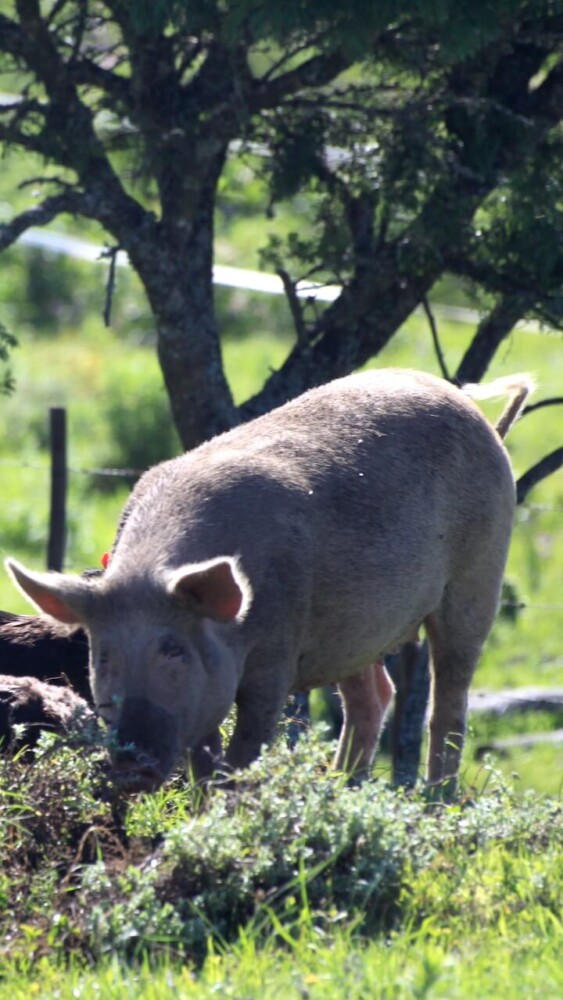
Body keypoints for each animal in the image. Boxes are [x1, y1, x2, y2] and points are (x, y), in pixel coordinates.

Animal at [5, 368, 532, 794]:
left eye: (173, 649)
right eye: (103, 655)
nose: (130, 766)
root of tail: (483, 420)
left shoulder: (278, 650)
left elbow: (245, 752)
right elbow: (203, 764)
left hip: (479, 575)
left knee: (448, 704)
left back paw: (434, 802)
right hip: (354, 631)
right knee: (373, 696)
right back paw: (338, 790)